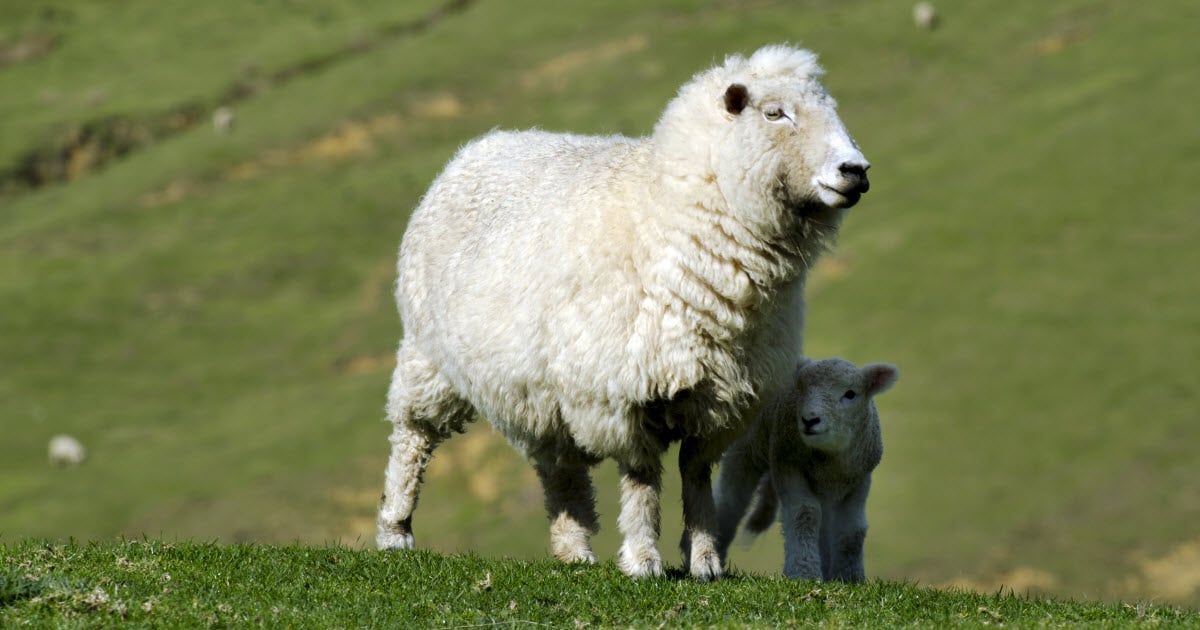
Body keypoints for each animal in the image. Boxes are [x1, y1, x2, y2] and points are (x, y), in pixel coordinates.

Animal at [376, 44, 872, 581]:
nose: (856, 170)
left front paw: (705, 561)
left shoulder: (719, 397)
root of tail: (477, 148)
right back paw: (395, 529)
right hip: (428, 356)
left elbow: (696, 478)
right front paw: (644, 559)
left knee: (560, 468)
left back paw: (573, 549)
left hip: (543, 389)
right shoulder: (620, 393)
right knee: (412, 438)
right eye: (775, 113)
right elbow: (643, 480)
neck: (666, 215)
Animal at [713, 357, 899, 581]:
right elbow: (804, 513)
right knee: (729, 502)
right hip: (745, 448)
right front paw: (803, 572)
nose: (810, 420)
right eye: (800, 389)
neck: (831, 458)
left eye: (850, 394)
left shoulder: (860, 478)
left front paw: (849, 578)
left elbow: (853, 529)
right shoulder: (788, 464)